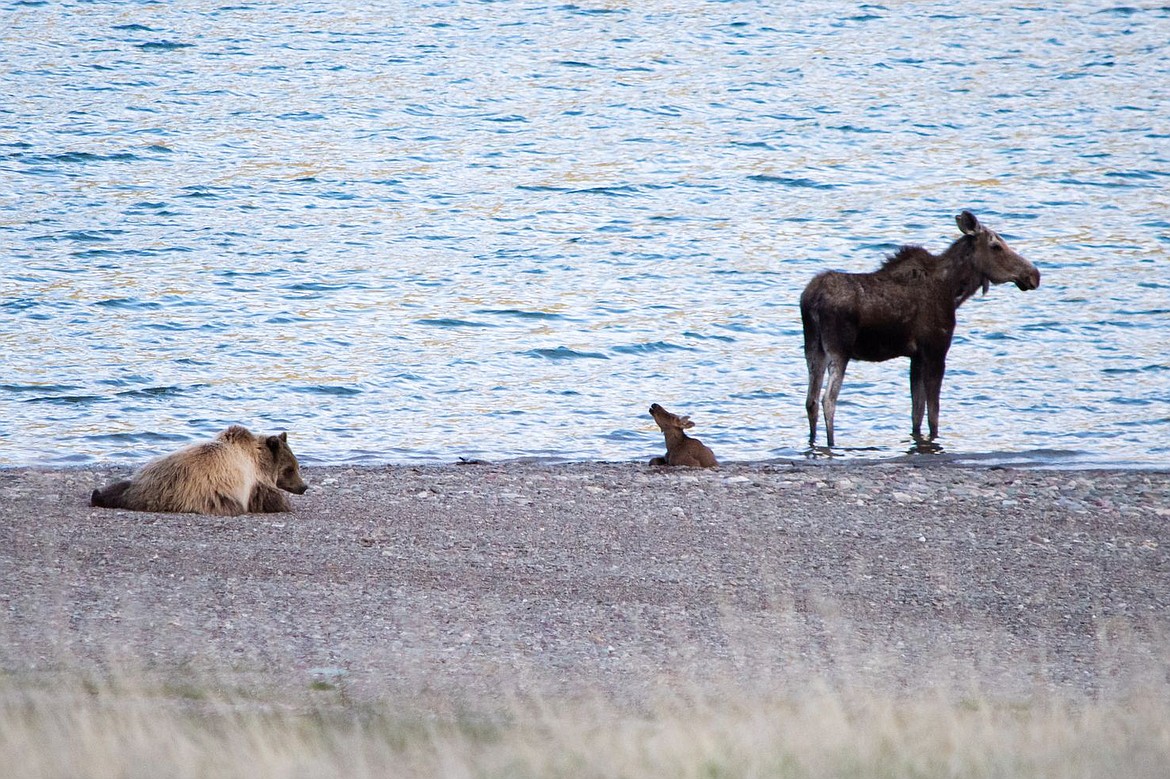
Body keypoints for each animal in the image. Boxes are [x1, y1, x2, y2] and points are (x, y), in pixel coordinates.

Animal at [90, 425, 308, 515]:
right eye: (290, 469)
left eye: (296, 466)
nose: (304, 486)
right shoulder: (251, 481)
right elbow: (268, 496)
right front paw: (283, 504)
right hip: (208, 494)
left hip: (142, 476)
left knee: (114, 488)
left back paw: (99, 495)